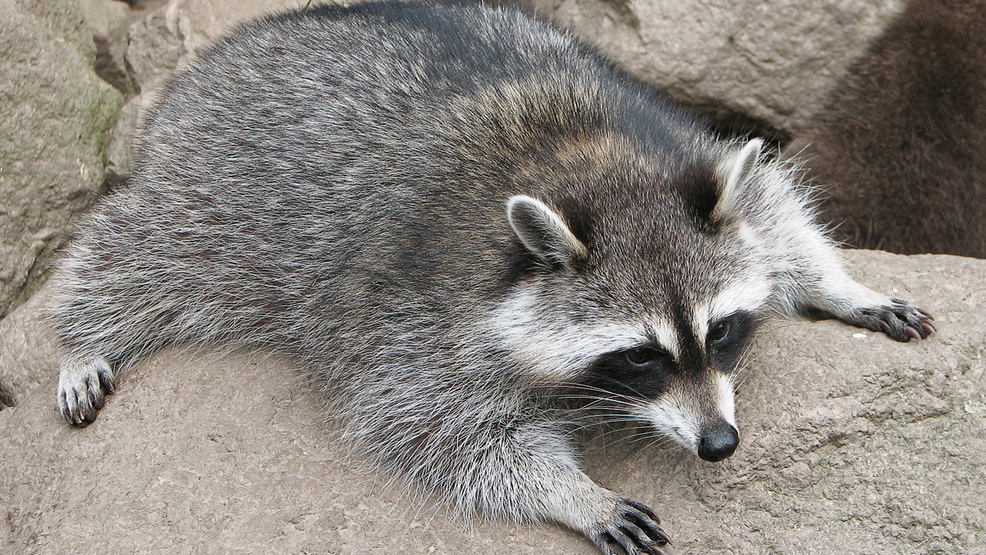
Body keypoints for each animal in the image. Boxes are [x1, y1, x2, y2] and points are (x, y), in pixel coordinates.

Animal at [51, 2, 934, 553]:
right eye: (640, 356)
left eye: (721, 332)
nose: (719, 443)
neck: (592, 165)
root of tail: (220, 57)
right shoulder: (415, 313)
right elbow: (438, 426)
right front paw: (570, 491)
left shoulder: (685, 148)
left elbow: (779, 221)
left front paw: (840, 284)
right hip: (222, 196)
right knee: (144, 248)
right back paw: (81, 331)